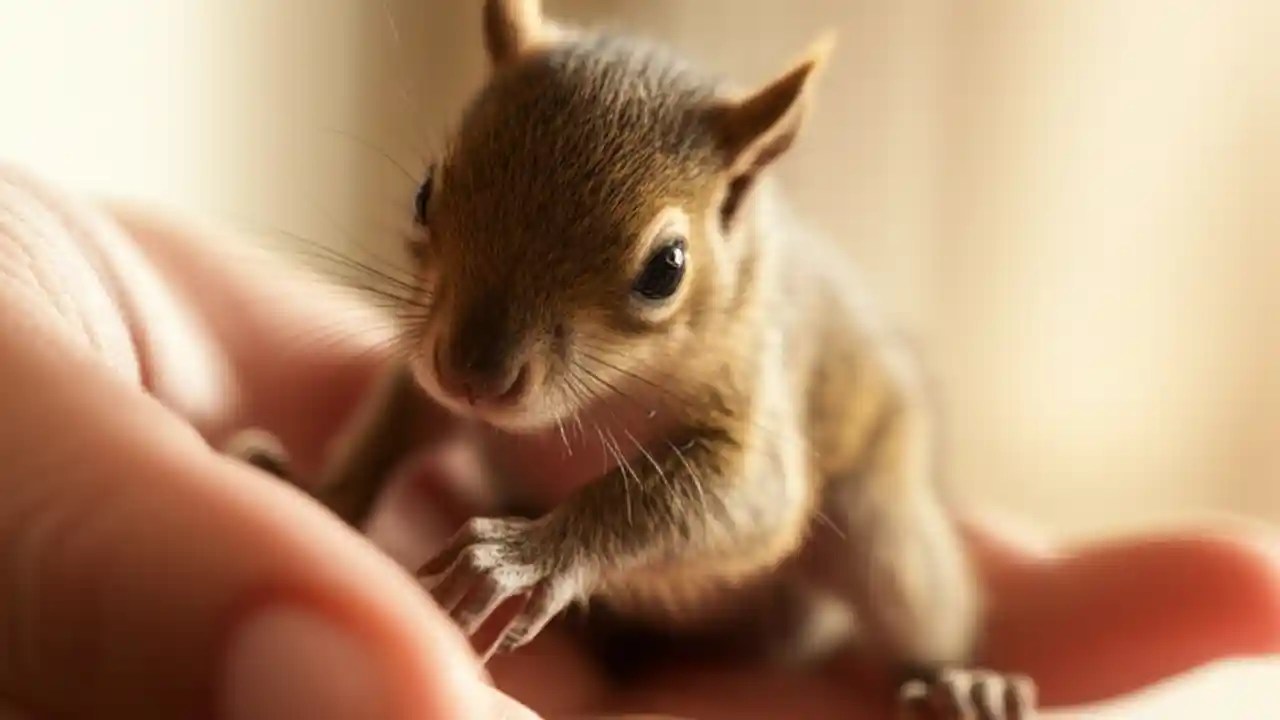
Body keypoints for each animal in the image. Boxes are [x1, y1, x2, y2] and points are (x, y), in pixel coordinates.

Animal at [229, 1, 1037, 717]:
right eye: (426, 194)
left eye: (666, 269)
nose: (472, 376)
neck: (599, 397)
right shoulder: (425, 369)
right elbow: (393, 428)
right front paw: (319, 492)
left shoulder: (749, 408)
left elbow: (728, 501)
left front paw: (527, 557)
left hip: (883, 526)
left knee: (914, 598)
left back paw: (961, 683)